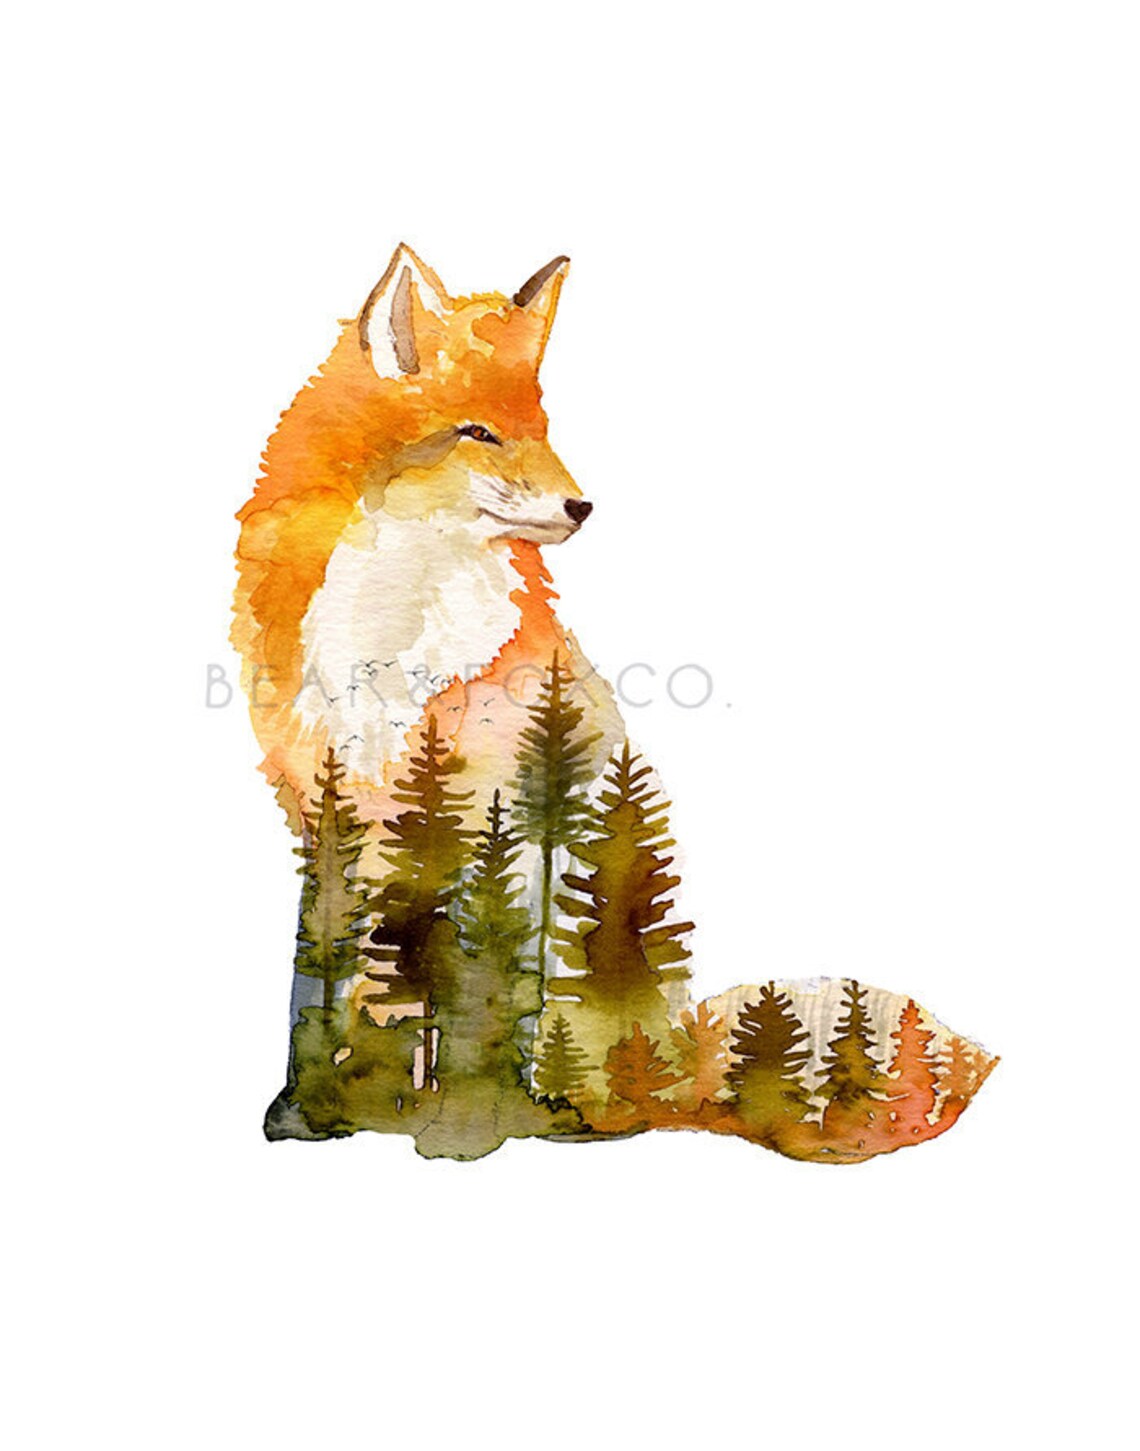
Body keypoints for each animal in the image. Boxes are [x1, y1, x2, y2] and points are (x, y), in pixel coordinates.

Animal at [232, 244, 996, 1161]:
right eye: (479, 432)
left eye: (545, 430)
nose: (582, 506)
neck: (393, 635)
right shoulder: (322, 799)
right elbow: (322, 974)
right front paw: (310, 1104)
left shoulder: (496, 806)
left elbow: (484, 986)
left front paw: (469, 1112)